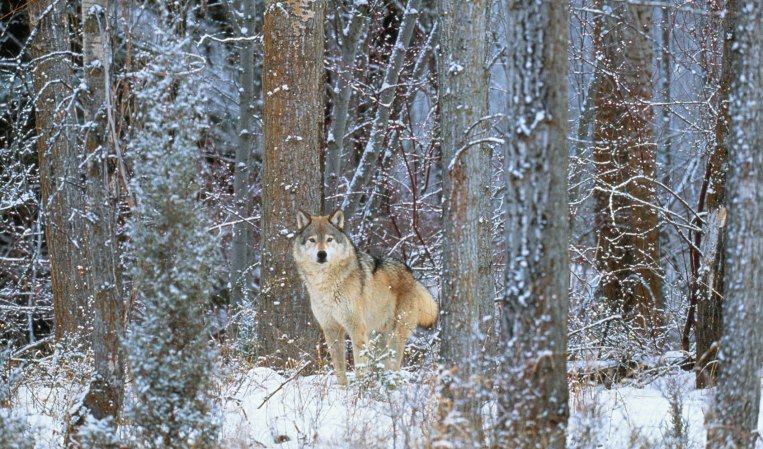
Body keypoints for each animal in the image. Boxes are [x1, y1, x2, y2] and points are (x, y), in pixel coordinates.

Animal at [292, 209, 438, 385]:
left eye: (329, 239)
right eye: (312, 240)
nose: (322, 254)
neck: (325, 284)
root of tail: (412, 276)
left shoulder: (356, 327)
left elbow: (359, 366)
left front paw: (358, 389)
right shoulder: (331, 329)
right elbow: (339, 369)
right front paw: (344, 389)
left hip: (394, 337)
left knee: (394, 368)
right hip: (377, 337)